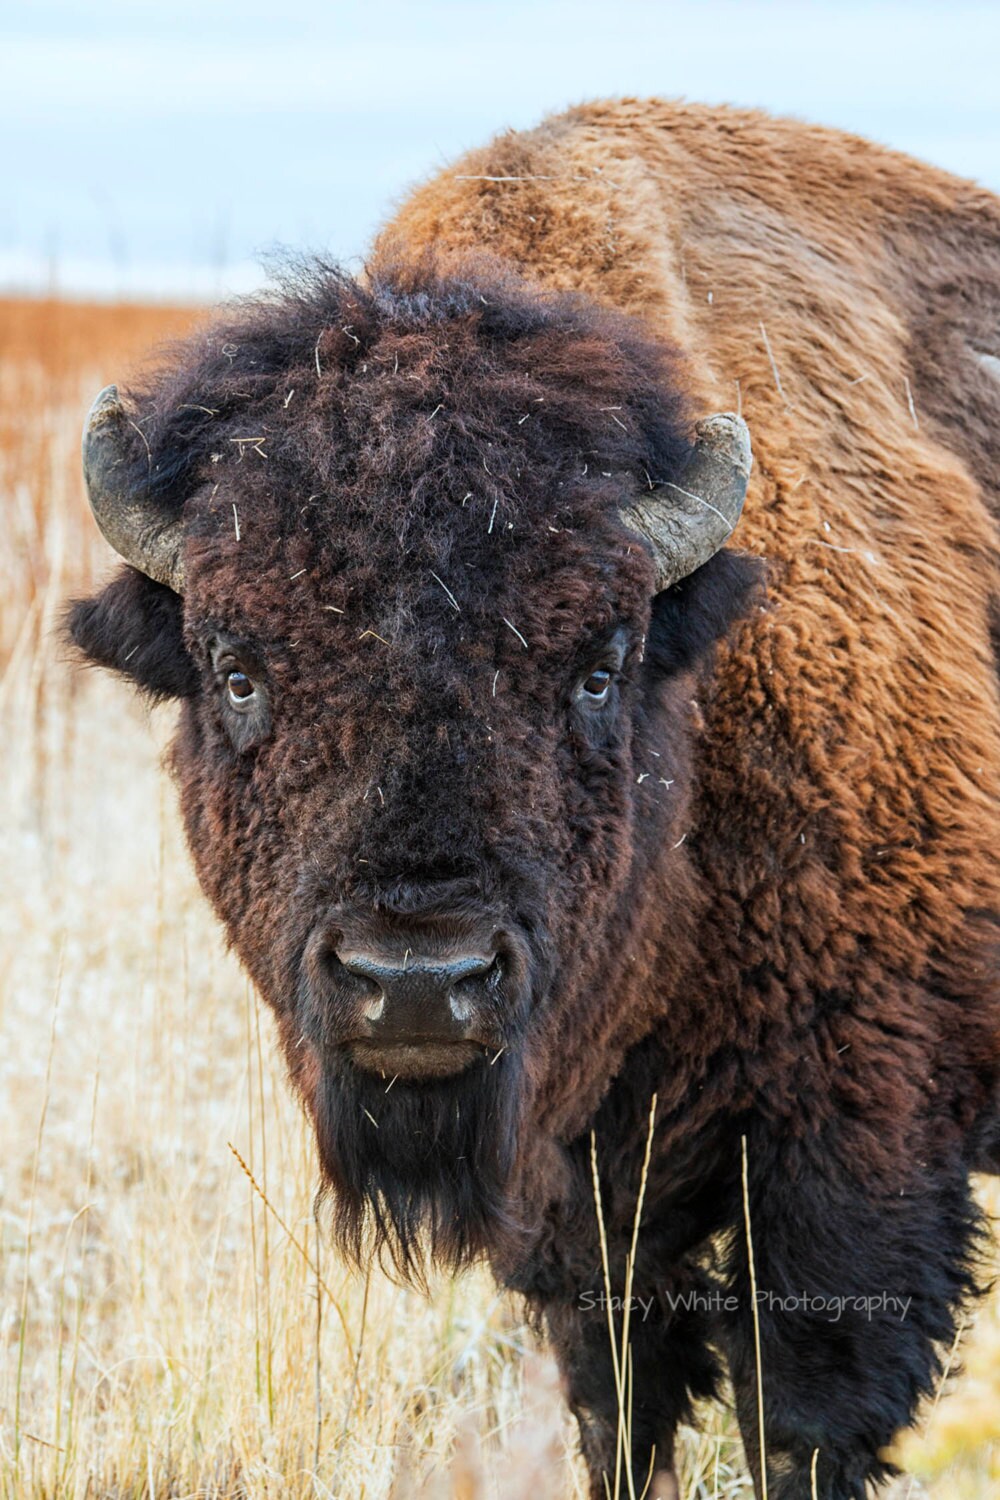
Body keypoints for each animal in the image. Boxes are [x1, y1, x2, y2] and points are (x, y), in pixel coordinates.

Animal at [68, 100, 1000, 1499]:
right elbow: (615, 1391)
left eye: (597, 666)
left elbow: (801, 1411)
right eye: (237, 669)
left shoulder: (858, 1141)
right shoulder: (585, 1186)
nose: (414, 983)